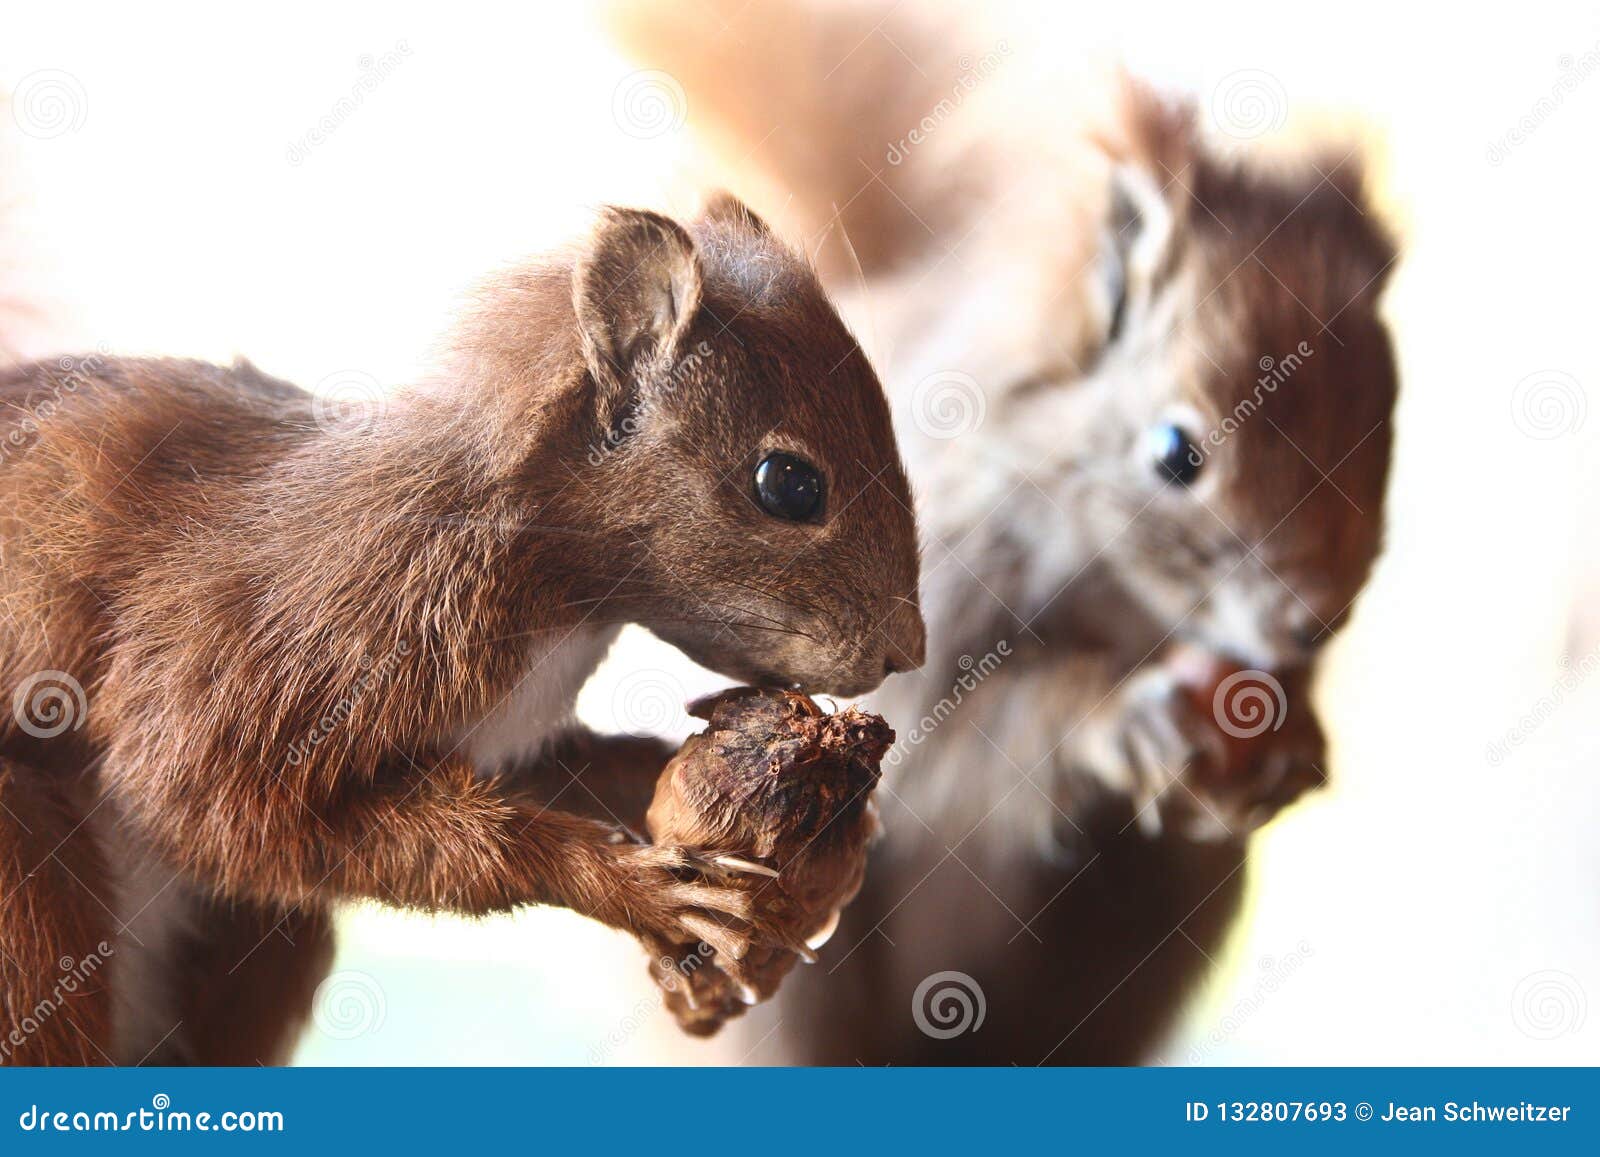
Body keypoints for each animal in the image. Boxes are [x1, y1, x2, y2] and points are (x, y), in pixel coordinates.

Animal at [0, 193, 925, 1064]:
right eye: (788, 484)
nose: (907, 650)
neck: (564, 594)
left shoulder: (500, 734)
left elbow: (574, 768)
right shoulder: (289, 634)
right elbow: (201, 800)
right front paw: (626, 884)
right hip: (31, 886)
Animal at [606, 0, 1398, 1063]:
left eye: (1387, 415)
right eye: (1177, 453)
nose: (1309, 621)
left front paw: (1293, 742)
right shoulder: (912, 610)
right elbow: (955, 753)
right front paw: (1128, 716)